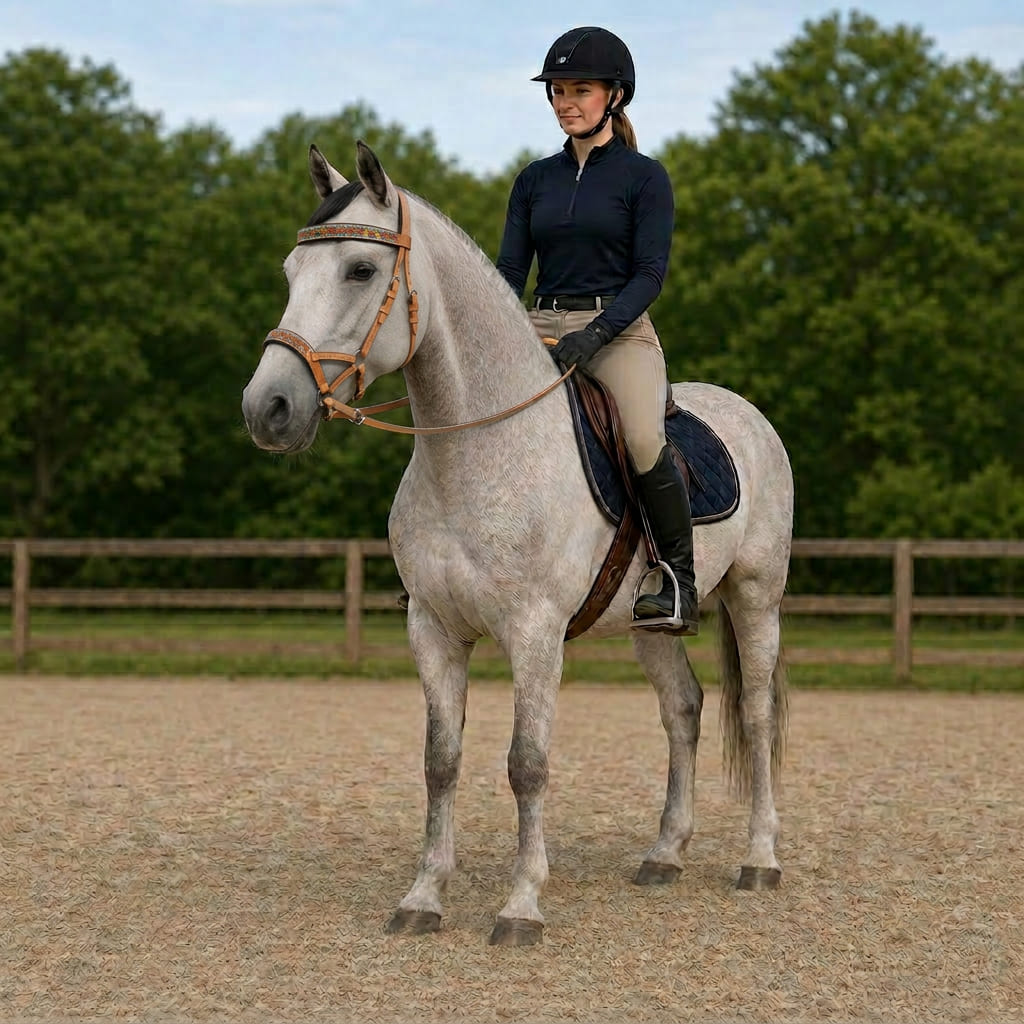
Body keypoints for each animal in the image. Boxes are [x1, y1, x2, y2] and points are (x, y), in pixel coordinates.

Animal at [241, 141, 794, 947]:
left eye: (361, 271)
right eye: (289, 272)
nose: (269, 409)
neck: (477, 452)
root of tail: (747, 414)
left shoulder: (535, 632)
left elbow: (527, 763)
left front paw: (521, 904)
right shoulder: (433, 629)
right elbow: (441, 761)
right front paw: (423, 896)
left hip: (756, 597)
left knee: (753, 712)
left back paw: (759, 861)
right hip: (651, 622)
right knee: (684, 709)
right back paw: (664, 855)